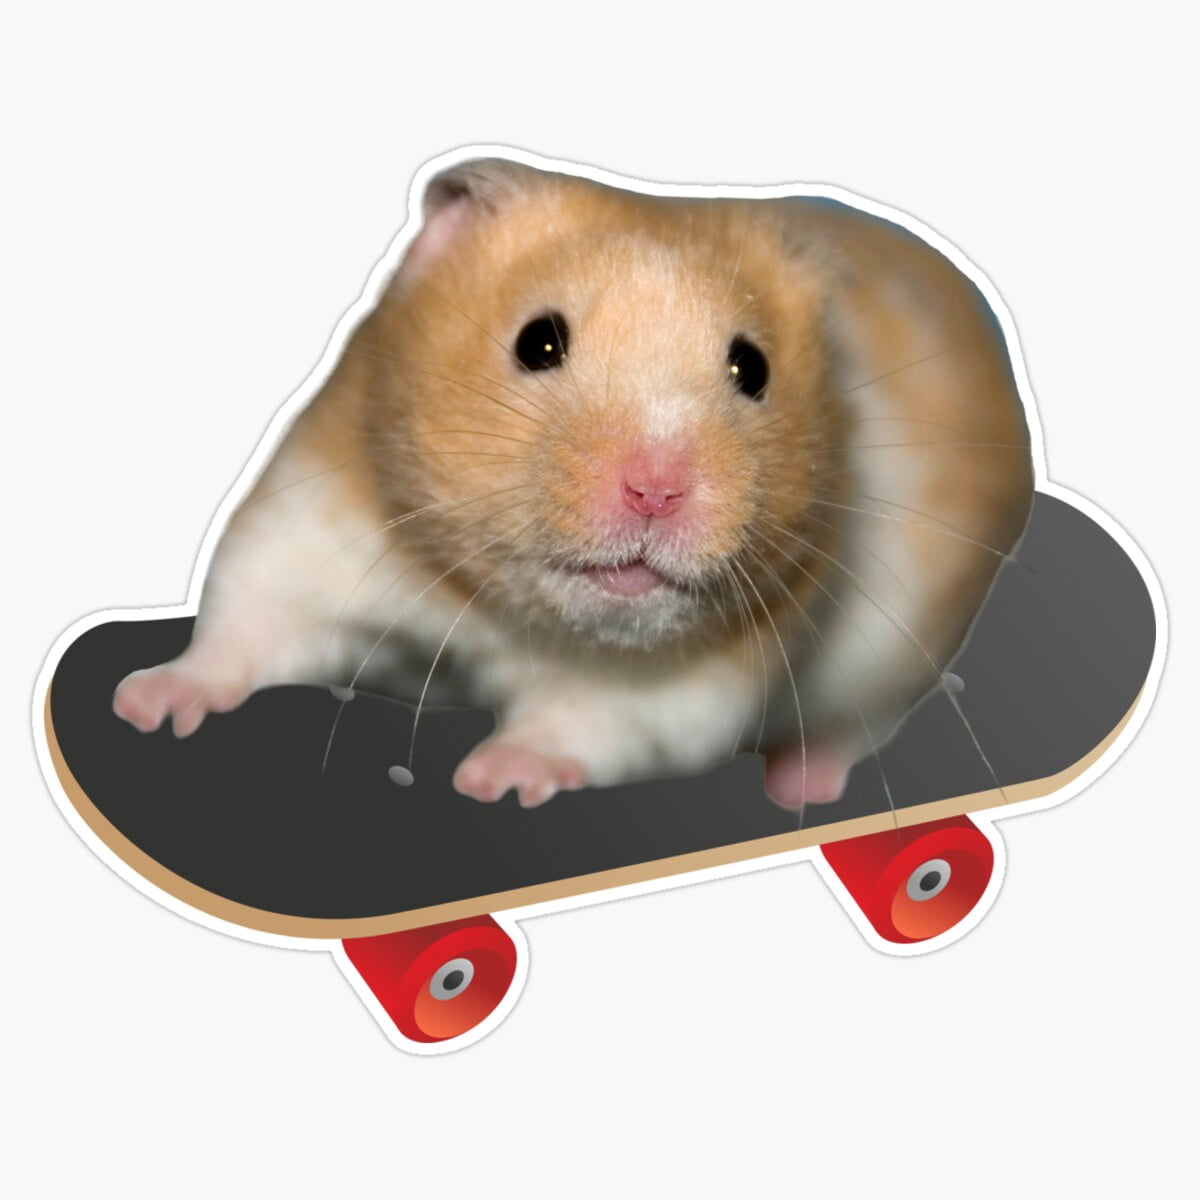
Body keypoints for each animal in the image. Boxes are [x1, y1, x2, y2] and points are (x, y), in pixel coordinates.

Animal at [112, 156, 1034, 810]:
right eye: (537, 342)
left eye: (753, 368)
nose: (656, 493)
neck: (505, 613)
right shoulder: (307, 520)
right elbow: (245, 626)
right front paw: (143, 703)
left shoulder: (674, 694)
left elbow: (583, 722)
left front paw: (489, 777)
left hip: (904, 659)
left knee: (852, 732)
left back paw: (796, 785)